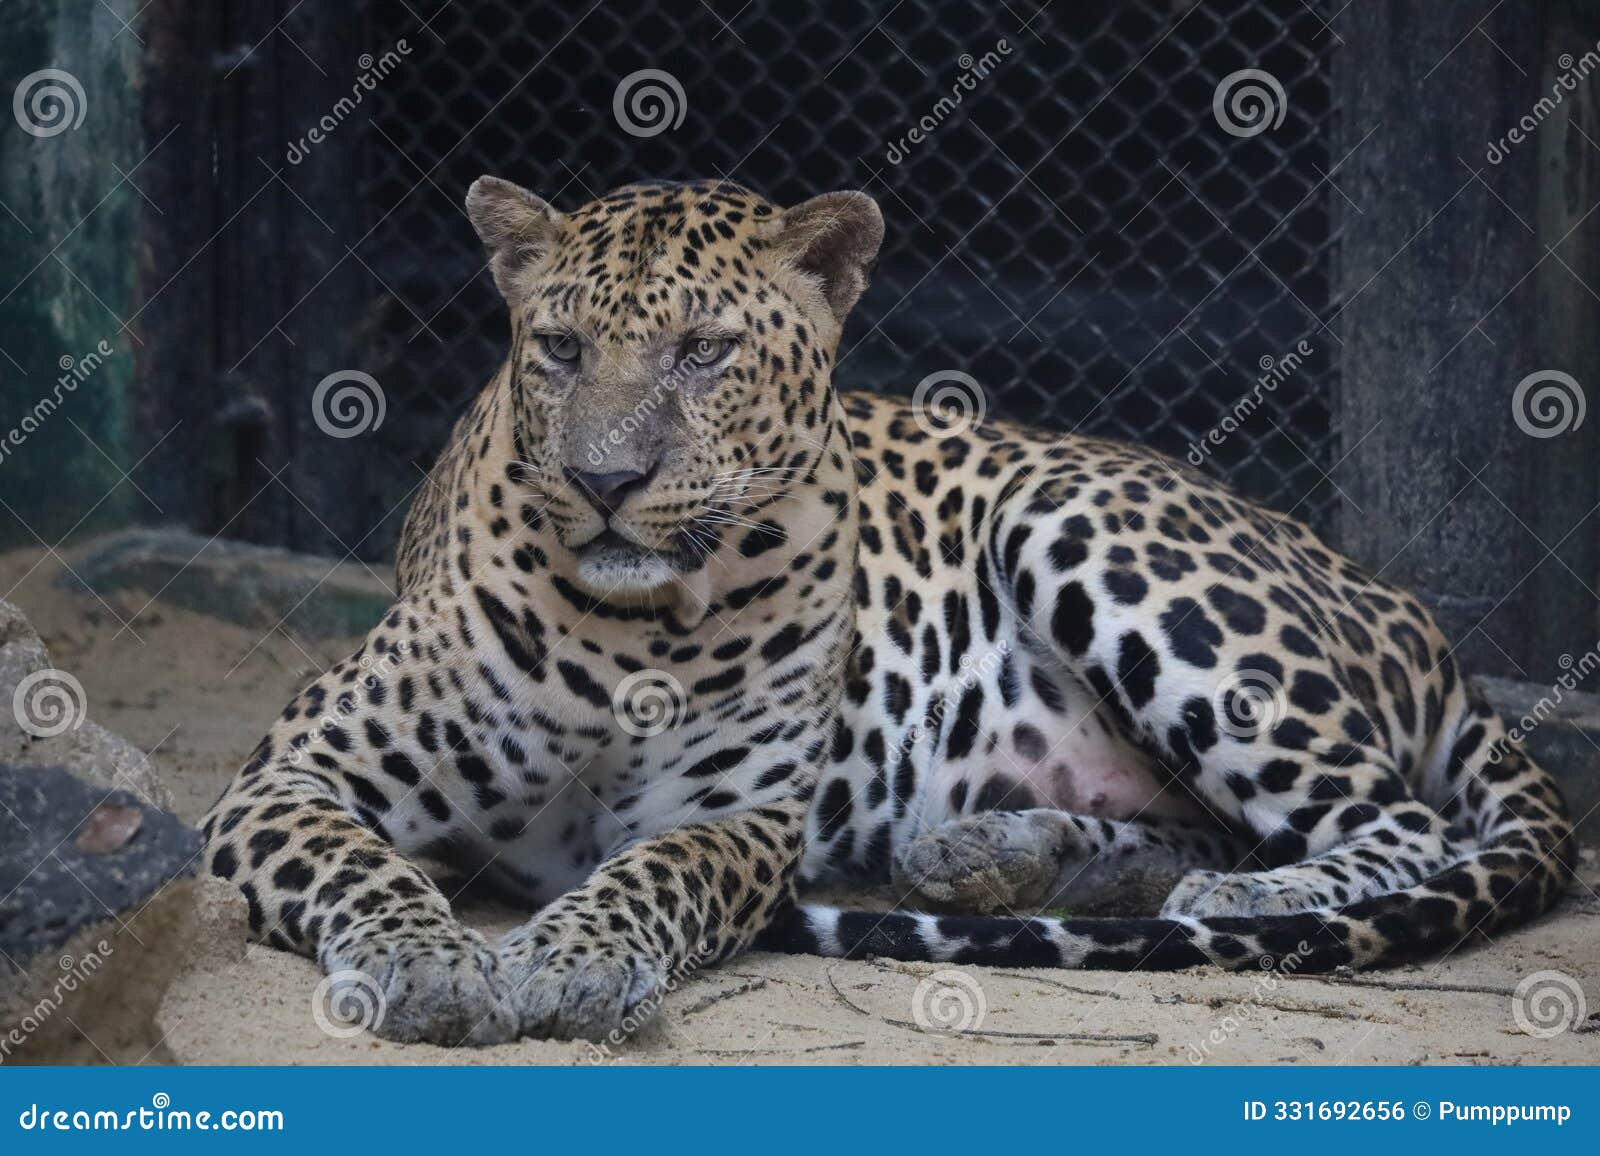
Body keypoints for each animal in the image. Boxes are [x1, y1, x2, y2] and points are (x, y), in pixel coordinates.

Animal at [203, 176, 1573, 1045]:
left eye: (704, 351)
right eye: (558, 348)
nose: (602, 482)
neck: (628, 633)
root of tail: (1411, 614)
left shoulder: (736, 818)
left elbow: (653, 870)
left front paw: (575, 956)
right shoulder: (289, 774)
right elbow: (361, 863)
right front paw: (426, 959)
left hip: (1077, 521)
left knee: (1394, 824)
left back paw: (1231, 901)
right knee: (1210, 827)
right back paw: (1004, 853)